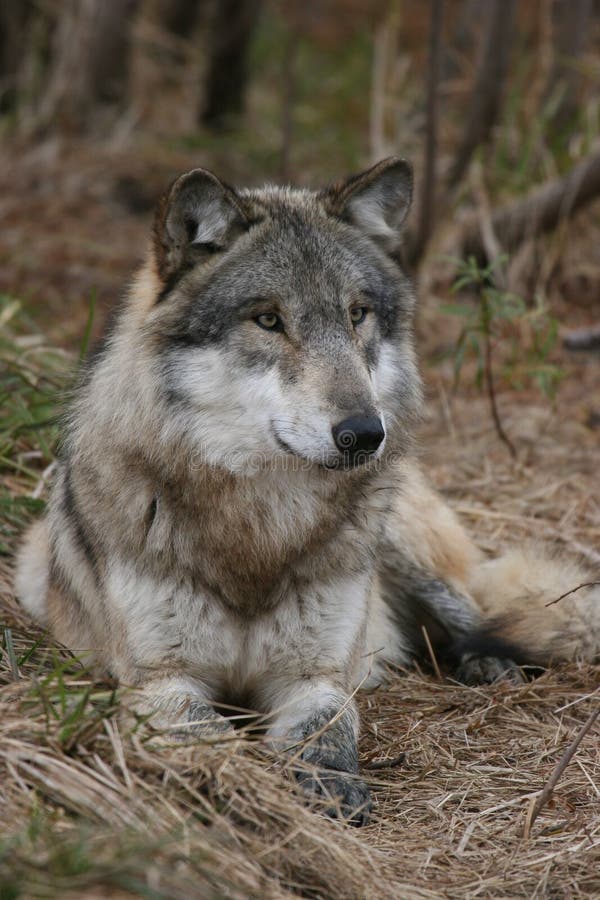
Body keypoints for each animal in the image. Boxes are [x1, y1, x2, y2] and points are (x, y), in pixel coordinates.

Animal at [15, 158, 600, 825]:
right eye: (269, 319)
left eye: (357, 314)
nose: (365, 434)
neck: (262, 525)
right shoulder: (161, 680)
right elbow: (210, 734)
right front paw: (250, 791)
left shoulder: (314, 676)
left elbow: (327, 729)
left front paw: (329, 785)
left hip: (400, 544)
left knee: (484, 614)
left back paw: (488, 661)